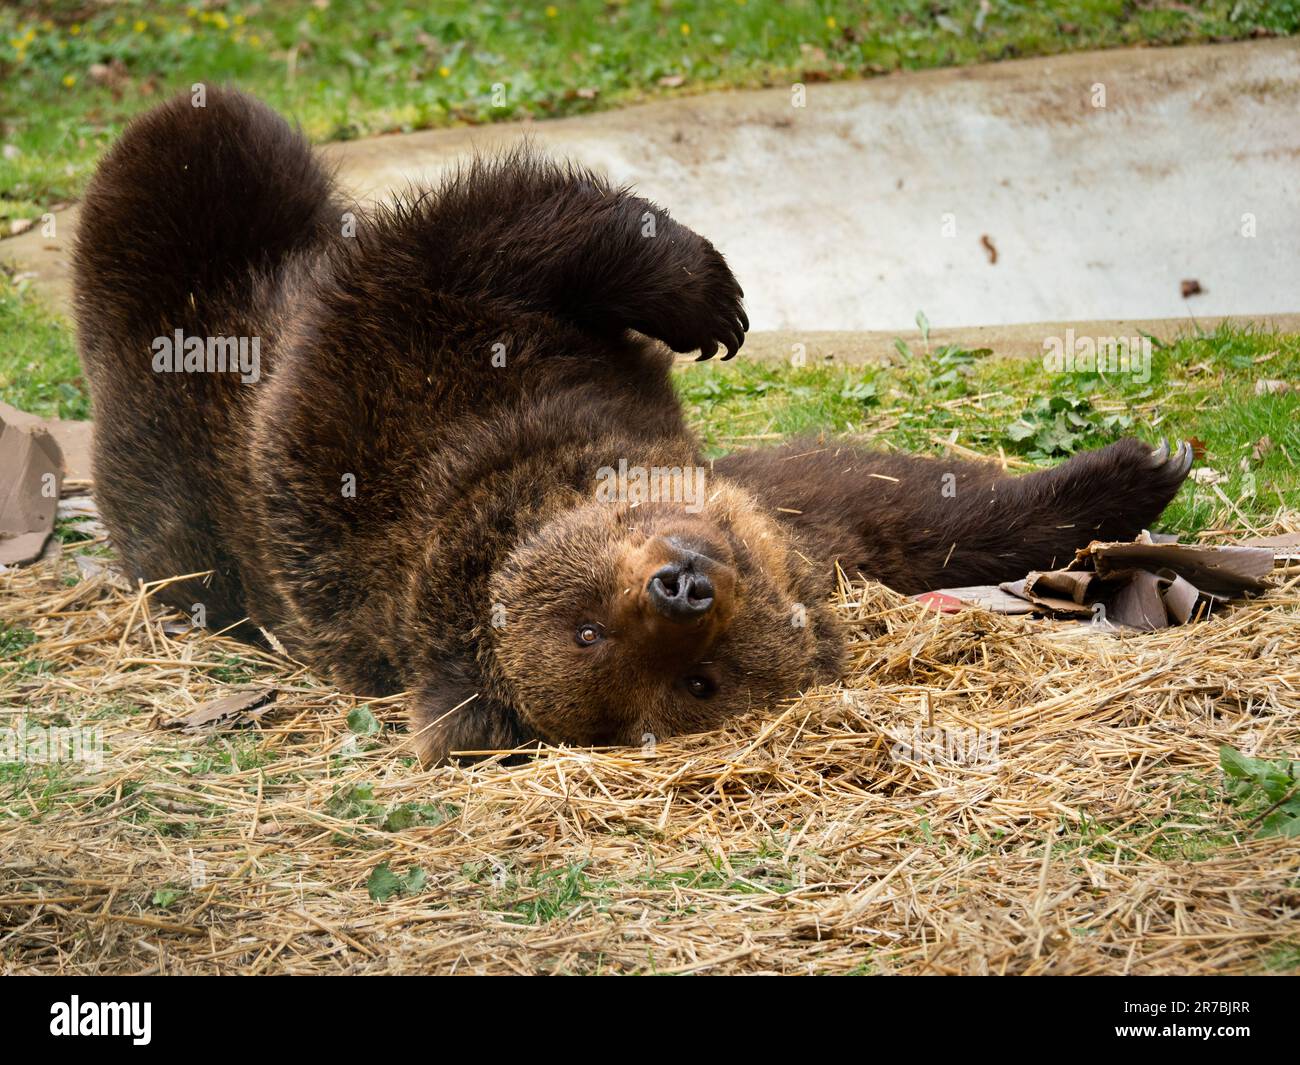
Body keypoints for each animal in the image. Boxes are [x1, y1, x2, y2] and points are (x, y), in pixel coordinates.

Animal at [73, 89, 1193, 765]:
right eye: (596, 638)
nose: (683, 584)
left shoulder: (405, 373)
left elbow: (910, 505)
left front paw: (1137, 467)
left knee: (203, 143)